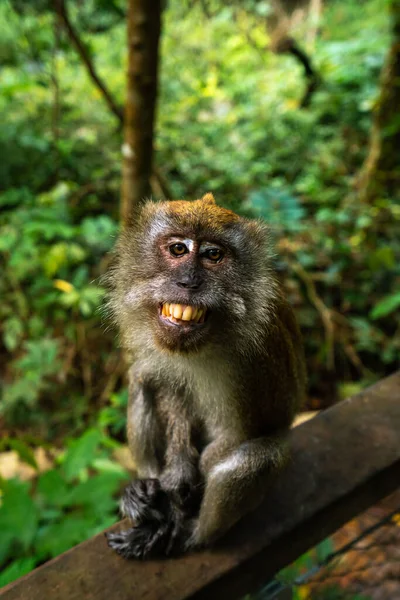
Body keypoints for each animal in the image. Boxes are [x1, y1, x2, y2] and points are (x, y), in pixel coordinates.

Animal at [104, 192, 304, 556]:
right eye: (178, 249)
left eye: (213, 255)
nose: (188, 282)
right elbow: (167, 386)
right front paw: (171, 480)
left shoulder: (253, 362)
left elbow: (242, 433)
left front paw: (181, 497)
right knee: (142, 378)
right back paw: (148, 494)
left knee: (259, 458)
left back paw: (191, 533)